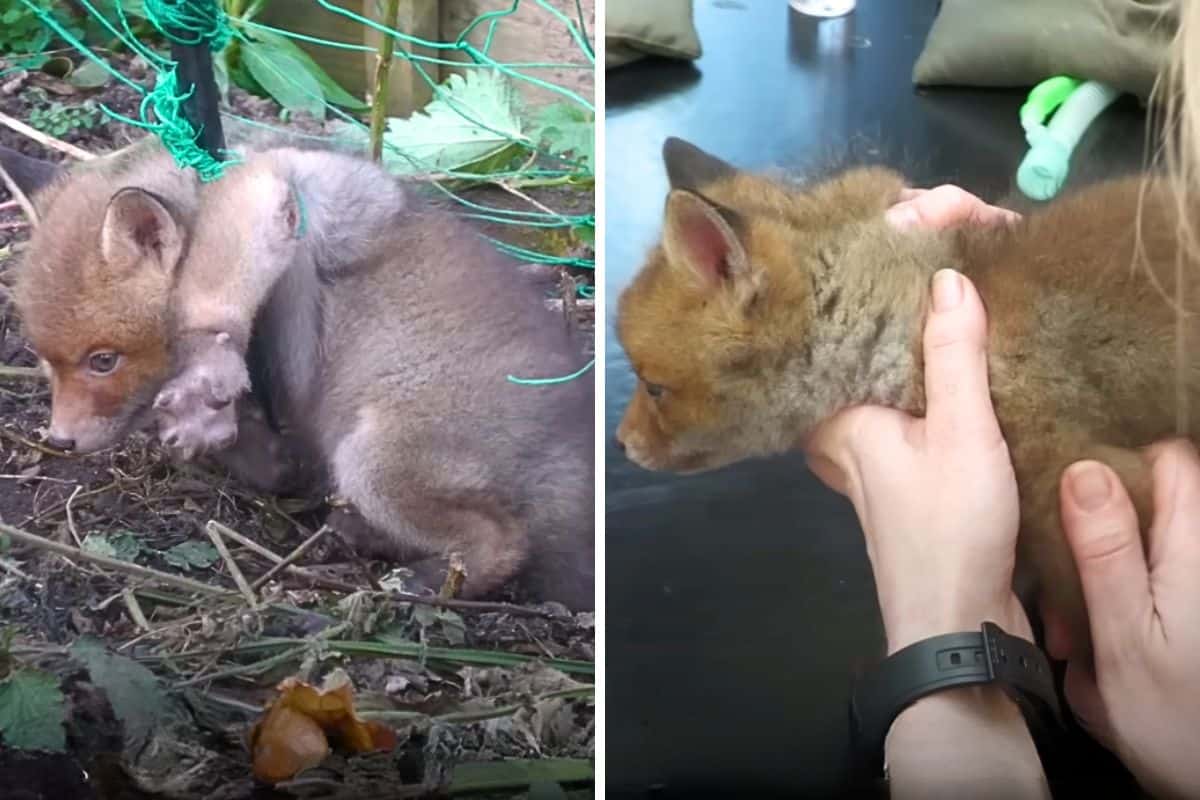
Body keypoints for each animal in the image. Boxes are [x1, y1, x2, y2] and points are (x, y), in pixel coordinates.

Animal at [6, 141, 595, 610]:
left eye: (103, 360)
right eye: (46, 361)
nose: (59, 439)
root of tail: (570, 444)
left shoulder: (287, 182)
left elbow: (215, 282)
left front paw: (207, 364)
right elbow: (266, 458)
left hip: (371, 461)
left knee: (505, 541)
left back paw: (423, 583)